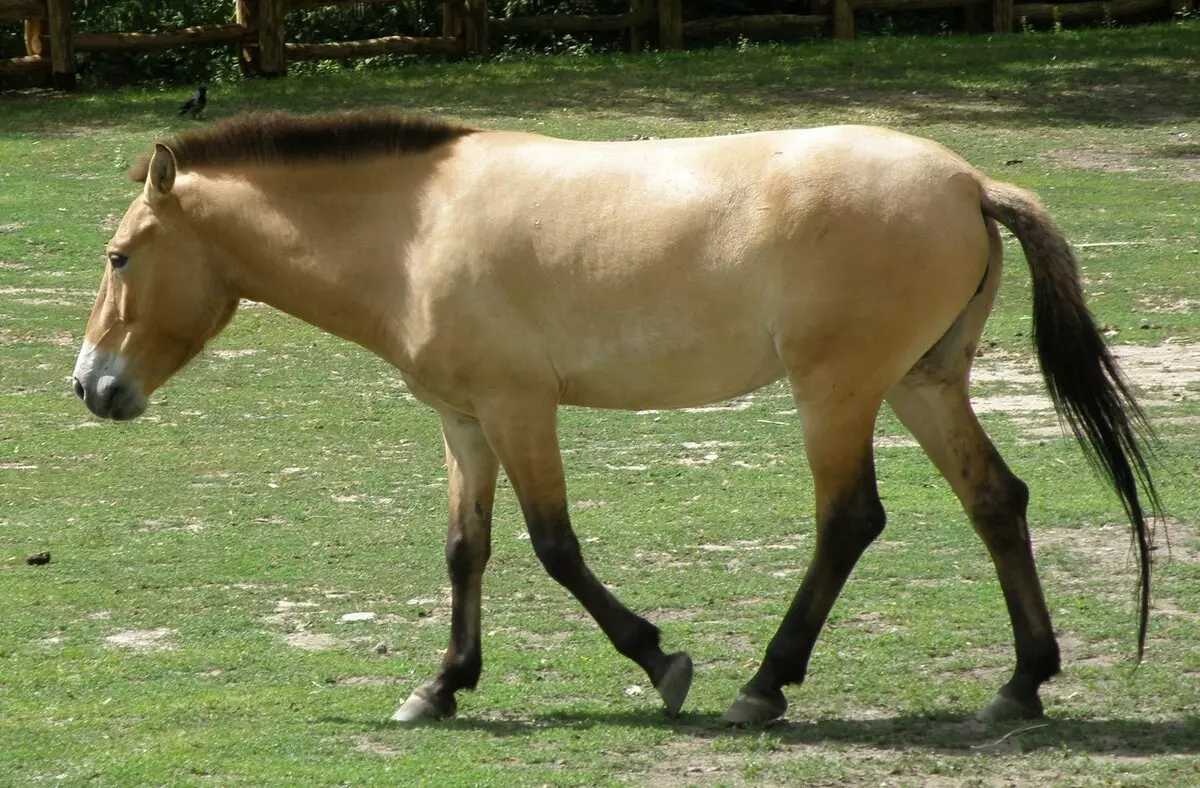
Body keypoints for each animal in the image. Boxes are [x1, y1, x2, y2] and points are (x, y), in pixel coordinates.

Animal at [70, 110, 1156, 724]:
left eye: (121, 256)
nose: (92, 385)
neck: (412, 230)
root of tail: (969, 181)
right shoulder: (464, 421)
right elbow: (466, 550)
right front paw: (441, 686)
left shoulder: (520, 409)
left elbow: (556, 547)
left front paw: (662, 661)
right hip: (921, 385)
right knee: (996, 500)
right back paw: (1021, 684)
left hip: (839, 393)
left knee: (849, 520)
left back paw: (764, 684)